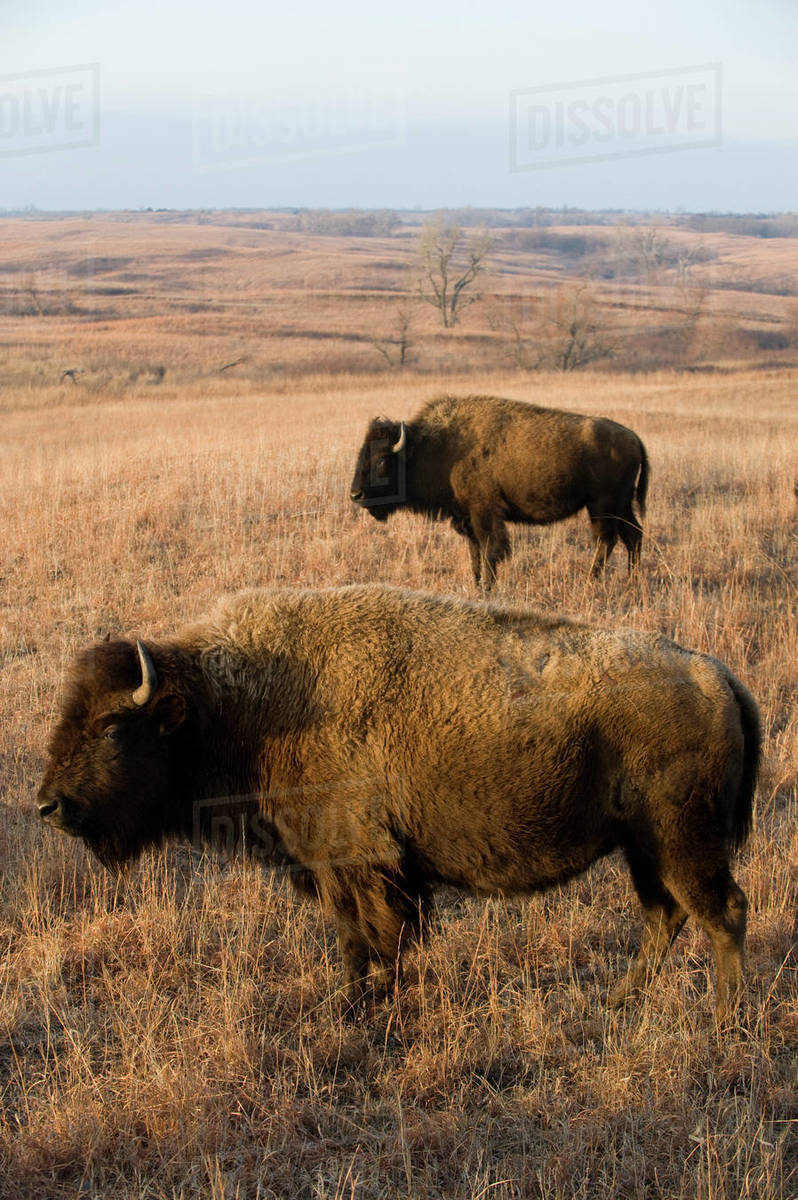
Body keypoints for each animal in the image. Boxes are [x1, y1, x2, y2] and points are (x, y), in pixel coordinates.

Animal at [38, 585, 758, 1023]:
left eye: (112, 727)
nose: (48, 805)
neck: (241, 702)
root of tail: (716, 674)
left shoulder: (360, 863)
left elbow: (373, 941)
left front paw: (363, 1012)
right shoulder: (337, 869)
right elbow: (353, 940)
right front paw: (351, 1005)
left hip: (680, 841)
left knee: (721, 912)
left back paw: (726, 1020)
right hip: (644, 849)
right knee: (666, 916)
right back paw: (619, 1000)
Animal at [350, 394, 650, 589]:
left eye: (381, 461)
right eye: (361, 455)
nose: (355, 496)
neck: (432, 447)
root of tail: (633, 436)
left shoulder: (485, 513)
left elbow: (490, 550)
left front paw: (488, 588)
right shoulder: (467, 518)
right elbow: (475, 554)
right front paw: (477, 586)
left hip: (601, 505)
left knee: (606, 540)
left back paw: (591, 582)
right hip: (621, 505)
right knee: (633, 536)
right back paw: (632, 581)